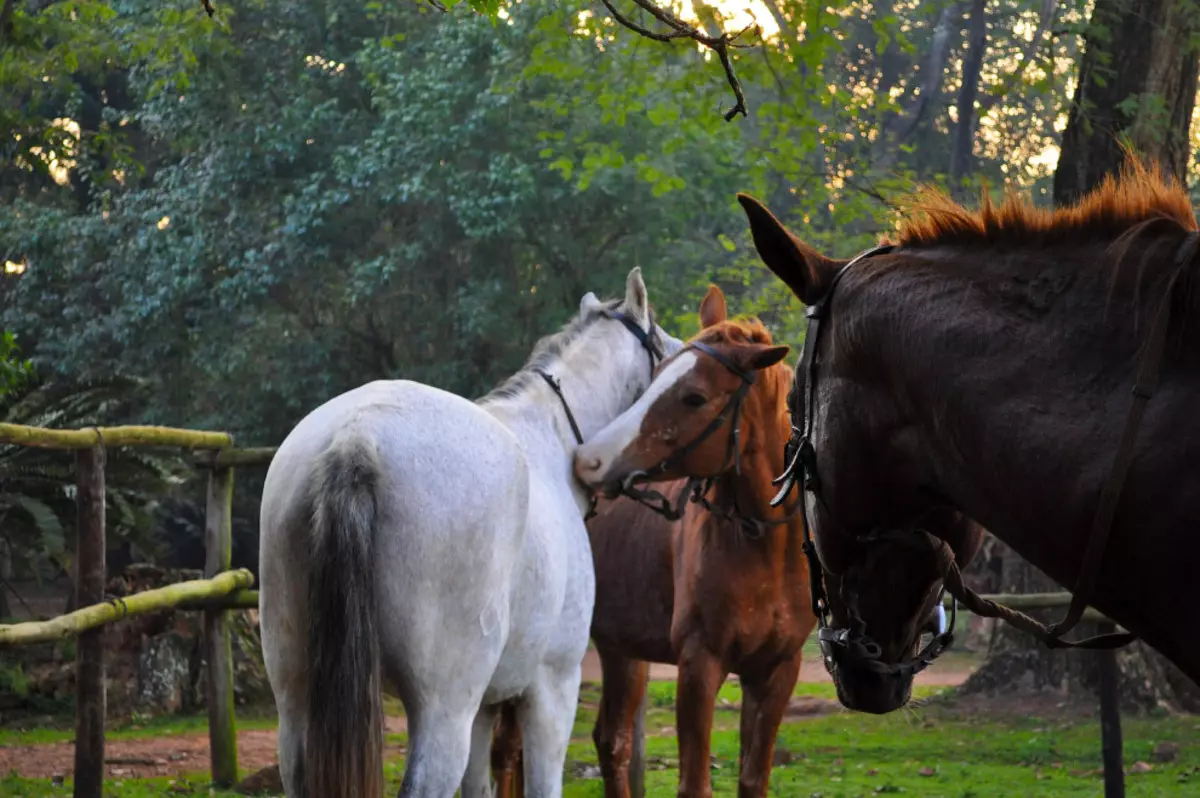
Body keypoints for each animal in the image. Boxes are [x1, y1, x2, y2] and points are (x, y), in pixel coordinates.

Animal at [258, 268, 681, 796]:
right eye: (664, 355)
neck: (551, 442)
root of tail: (358, 435)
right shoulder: (552, 689)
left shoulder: (485, 708)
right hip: (444, 711)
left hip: (296, 698)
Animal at [492, 286, 820, 796]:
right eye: (655, 375)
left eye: (694, 397)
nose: (590, 460)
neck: (762, 546)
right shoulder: (699, 664)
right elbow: (695, 783)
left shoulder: (777, 671)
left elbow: (753, 779)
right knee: (509, 750)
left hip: (621, 651)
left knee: (611, 742)